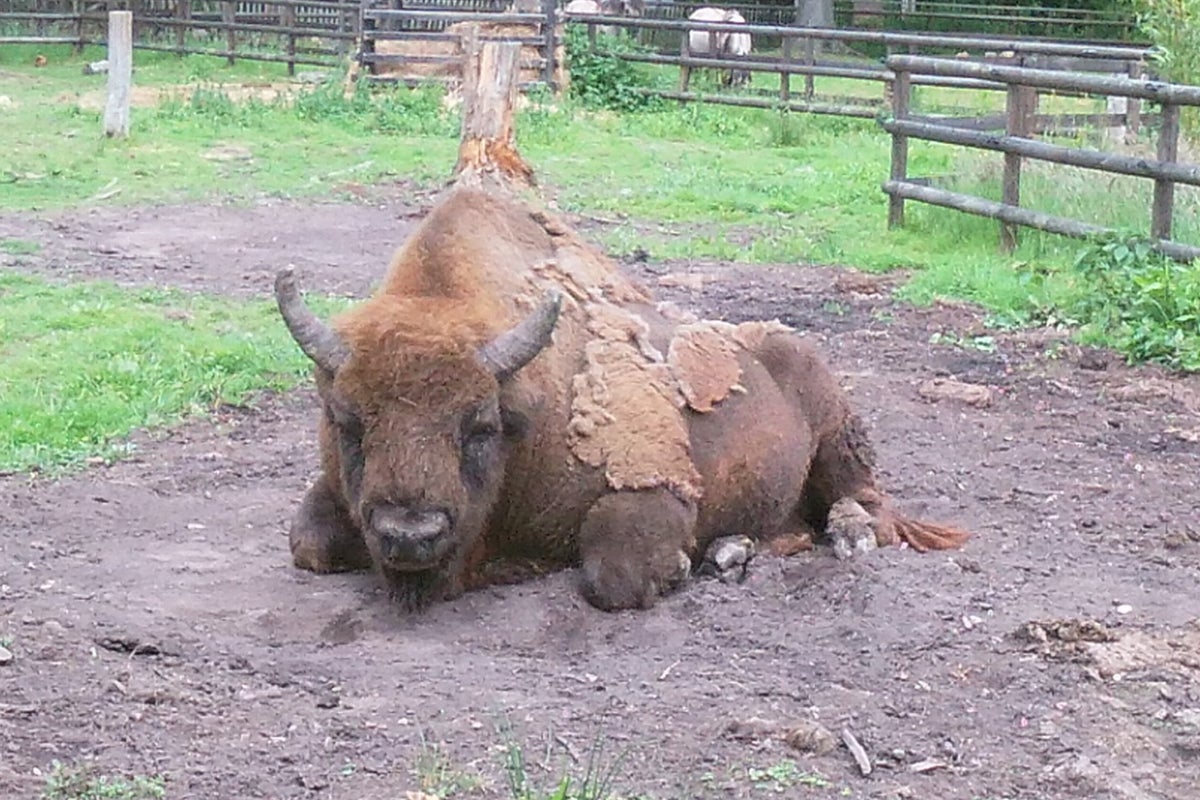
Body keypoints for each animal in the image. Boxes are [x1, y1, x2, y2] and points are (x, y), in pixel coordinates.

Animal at [276, 188, 967, 612]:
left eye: (480, 426)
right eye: (347, 422)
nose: (409, 534)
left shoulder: (653, 486)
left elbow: (615, 574)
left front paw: (678, 567)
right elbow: (306, 540)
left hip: (837, 437)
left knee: (868, 508)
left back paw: (843, 537)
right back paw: (732, 552)